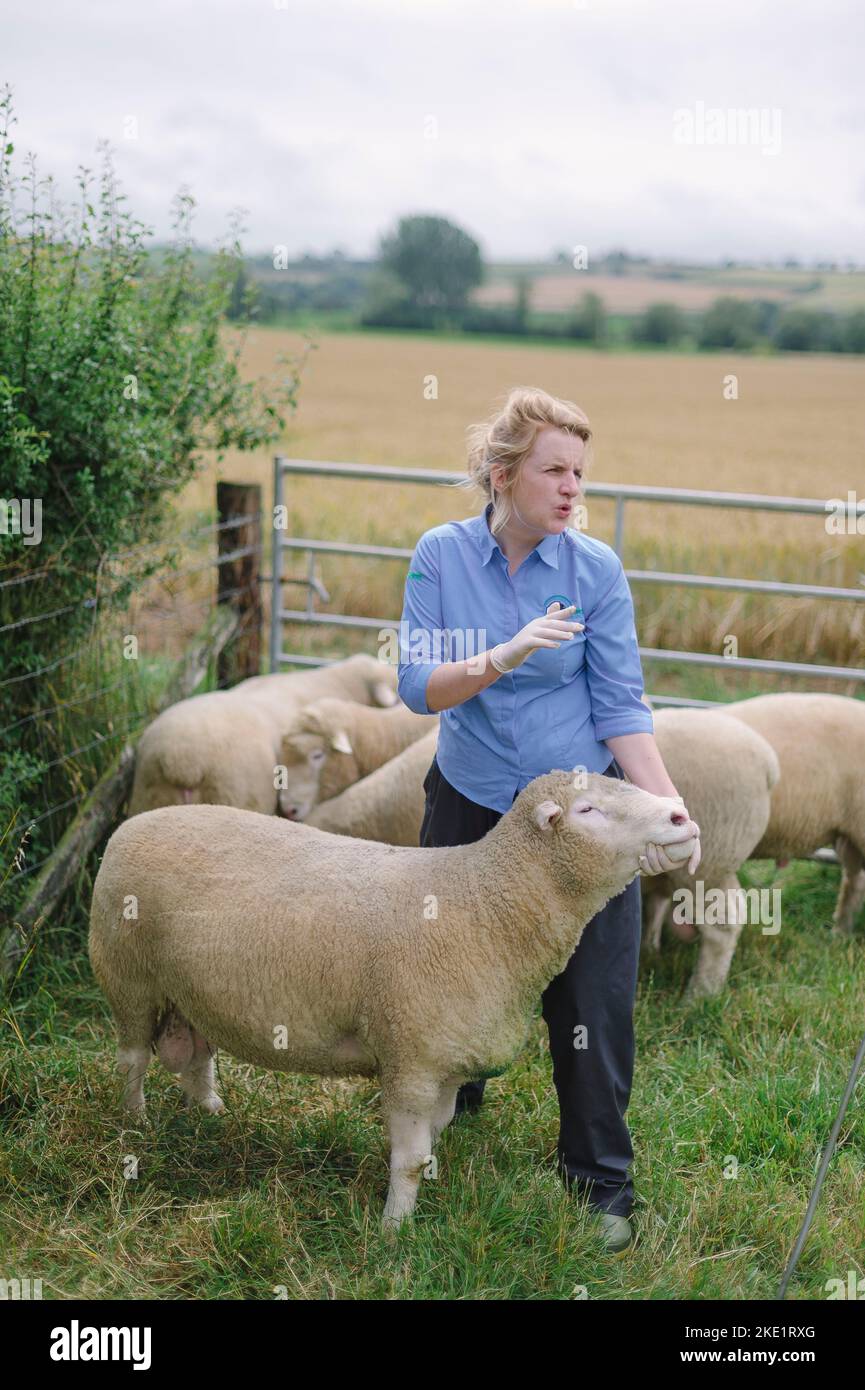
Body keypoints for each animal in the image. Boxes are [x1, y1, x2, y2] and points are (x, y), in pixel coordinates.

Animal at [88, 772, 699, 1229]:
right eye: (588, 809)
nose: (680, 816)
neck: (487, 904)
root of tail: (131, 825)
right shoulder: (410, 1058)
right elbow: (407, 1159)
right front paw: (394, 1232)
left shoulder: (446, 1061)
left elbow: (434, 1138)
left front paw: (422, 1196)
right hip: (127, 977)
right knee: (132, 1060)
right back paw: (135, 1124)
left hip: (188, 989)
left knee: (196, 1057)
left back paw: (210, 1113)